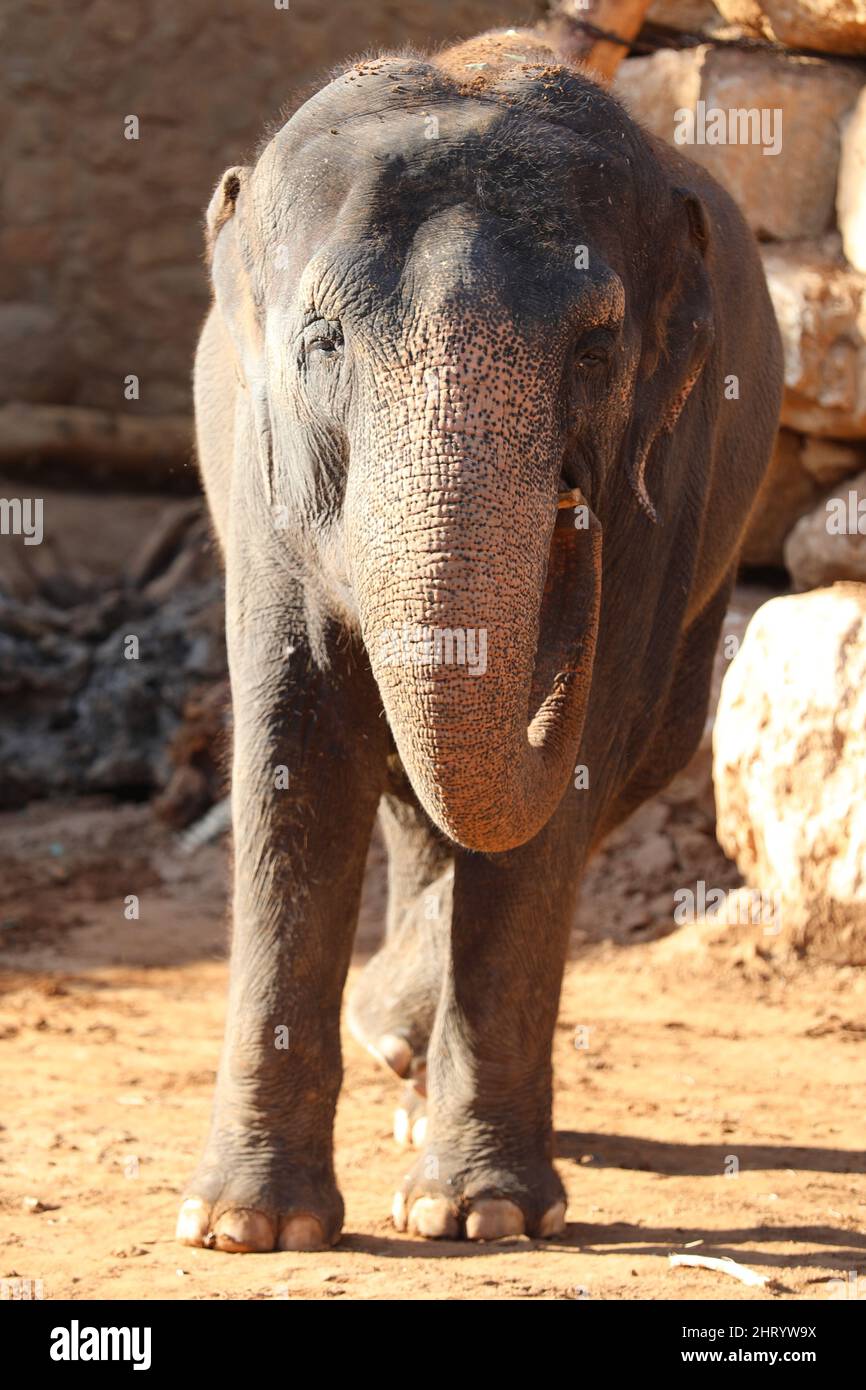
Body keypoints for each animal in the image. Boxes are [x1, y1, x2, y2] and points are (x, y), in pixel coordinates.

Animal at [177, 28, 783, 1251]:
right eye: (321, 341)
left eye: (596, 351)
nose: (577, 510)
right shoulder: (266, 490)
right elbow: (293, 754)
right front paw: (244, 1228)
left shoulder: (666, 491)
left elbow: (563, 791)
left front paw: (480, 1215)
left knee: (634, 755)